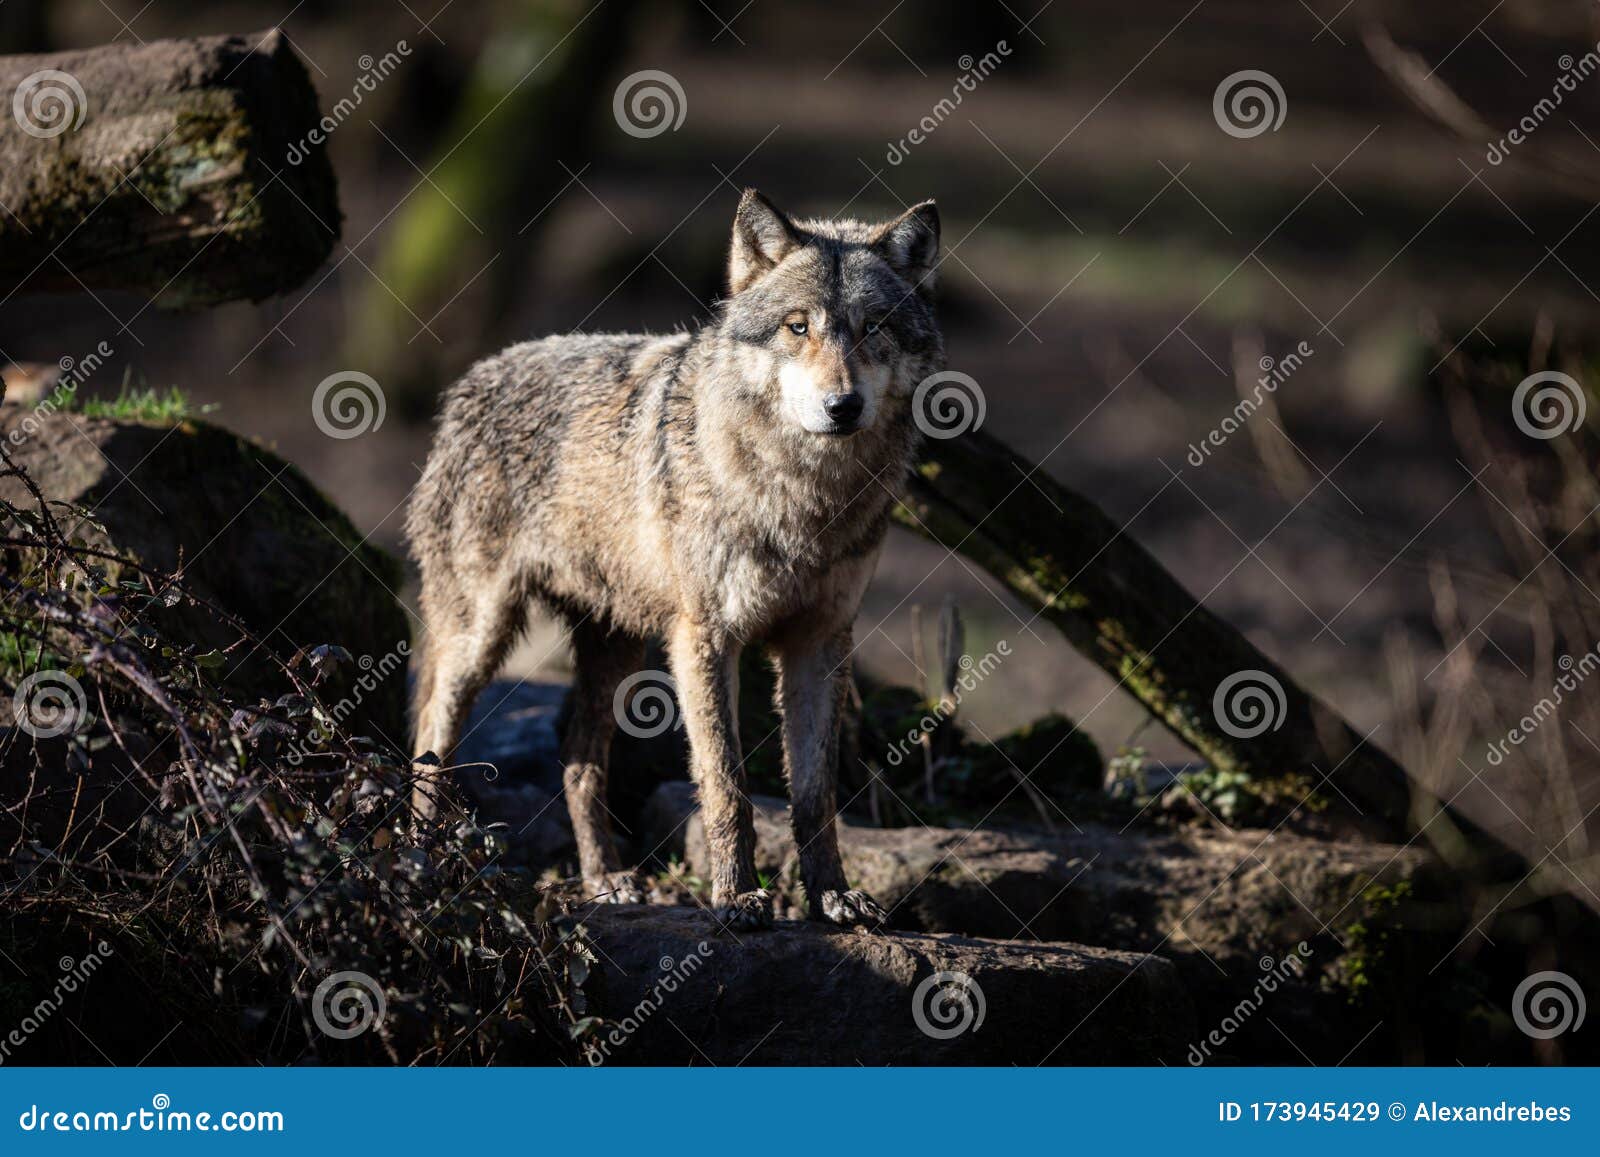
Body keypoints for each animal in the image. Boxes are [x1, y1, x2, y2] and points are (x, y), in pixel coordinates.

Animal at [407, 189, 943, 929]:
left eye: (874, 327)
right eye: (798, 327)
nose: (843, 405)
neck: (805, 499)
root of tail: (471, 379)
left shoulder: (820, 639)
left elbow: (815, 794)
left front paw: (832, 895)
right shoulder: (705, 637)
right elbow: (725, 783)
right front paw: (736, 899)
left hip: (617, 643)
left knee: (577, 758)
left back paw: (606, 879)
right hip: (480, 638)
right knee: (429, 742)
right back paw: (423, 869)